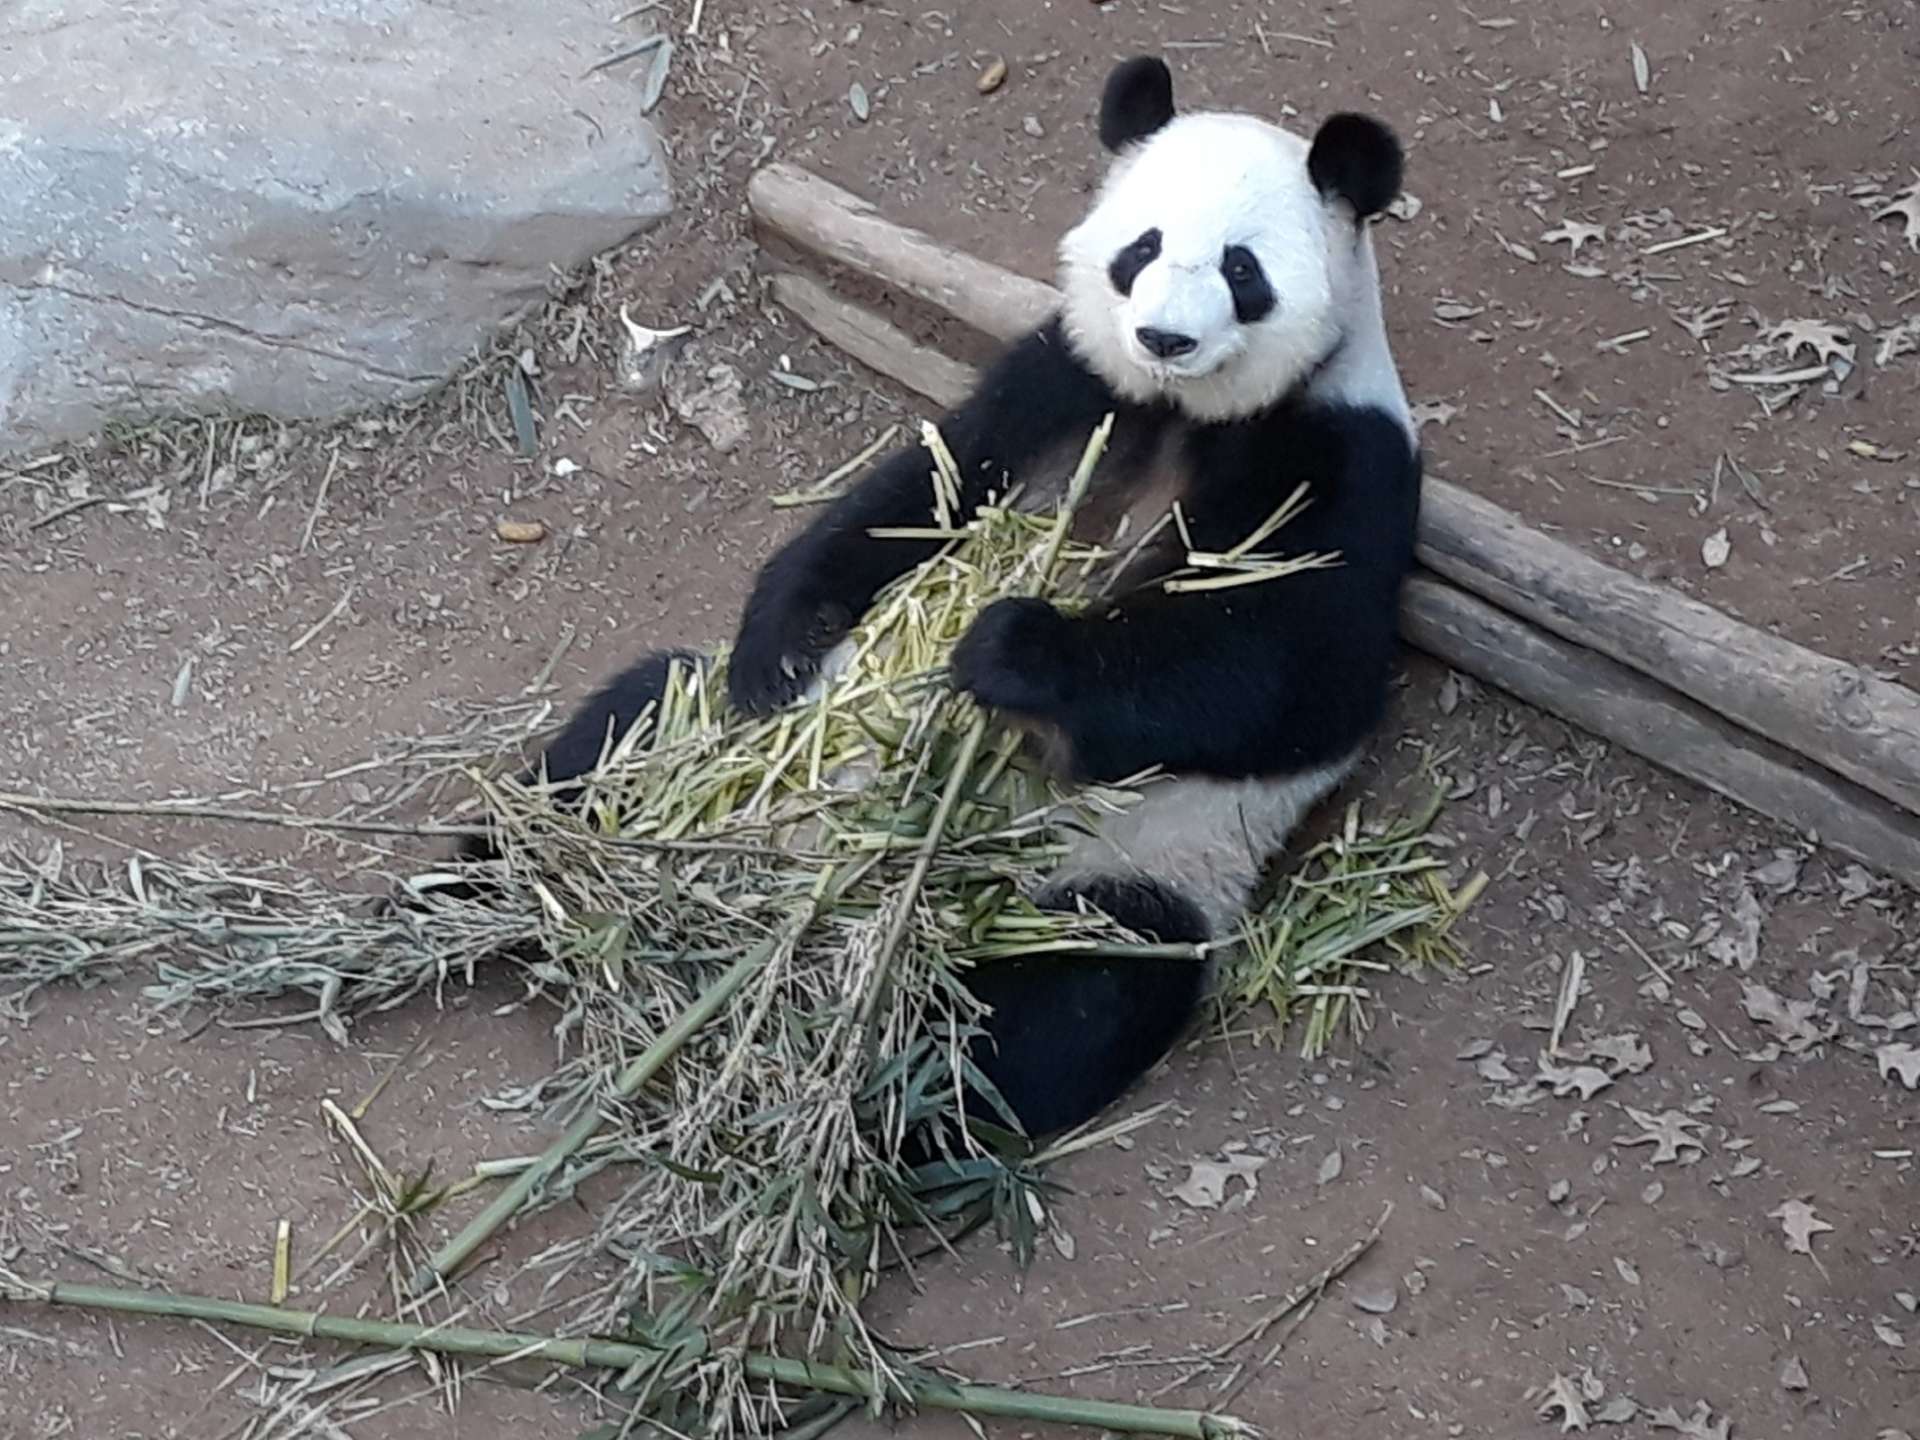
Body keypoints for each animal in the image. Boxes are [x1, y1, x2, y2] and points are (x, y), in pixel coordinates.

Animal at [464, 56, 1422, 1147]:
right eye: (1141, 249)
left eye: (1243, 271)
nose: (1163, 337)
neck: (1186, 408)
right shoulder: (1067, 378)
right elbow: (926, 487)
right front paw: (783, 637)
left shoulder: (1342, 457)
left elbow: (1293, 672)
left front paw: (1014, 652)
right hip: (702, 749)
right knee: (615, 735)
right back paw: (474, 892)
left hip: (1132, 862)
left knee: (1060, 1004)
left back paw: (853, 1087)